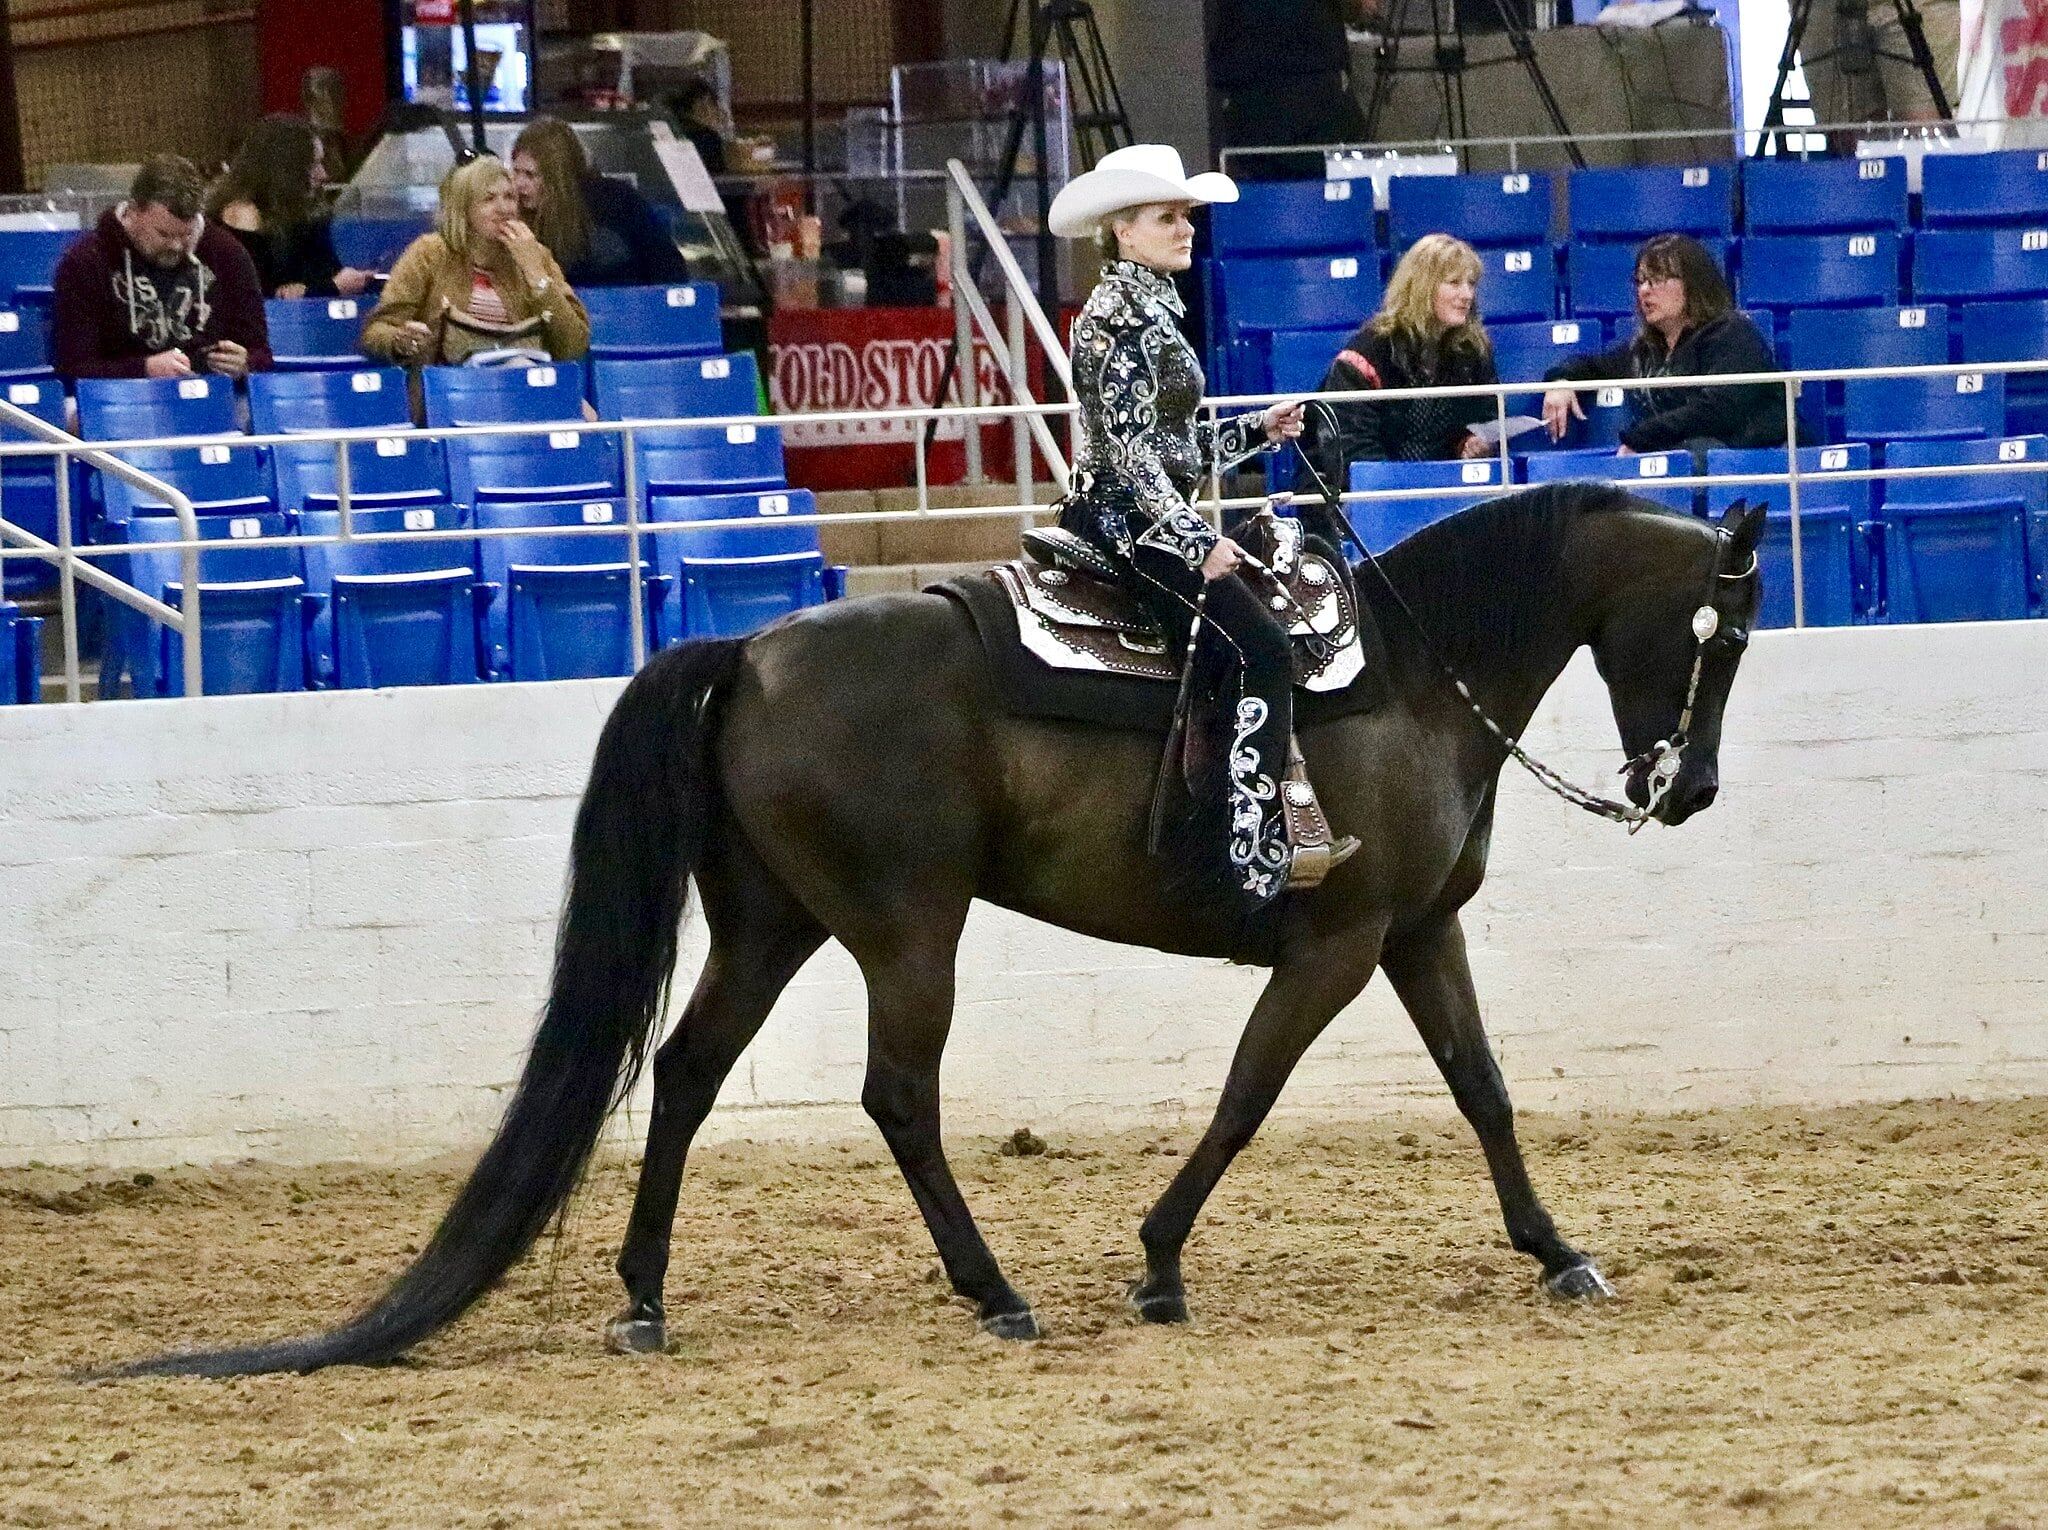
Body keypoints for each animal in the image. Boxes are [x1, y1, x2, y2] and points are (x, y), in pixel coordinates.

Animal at [108, 484, 1764, 1376]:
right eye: (1722, 633)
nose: (1691, 793)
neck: (1413, 678)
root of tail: (750, 649)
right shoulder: (1338, 941)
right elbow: (1246, 1098)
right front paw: (1157, 1263)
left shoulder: (1415, 935)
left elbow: (1484, 1091)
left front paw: (1560, 1251)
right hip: (908, 927)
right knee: (898, 1094)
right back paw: (996, 1289)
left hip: (771, 924)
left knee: (689, 1074)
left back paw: (645, 1296)